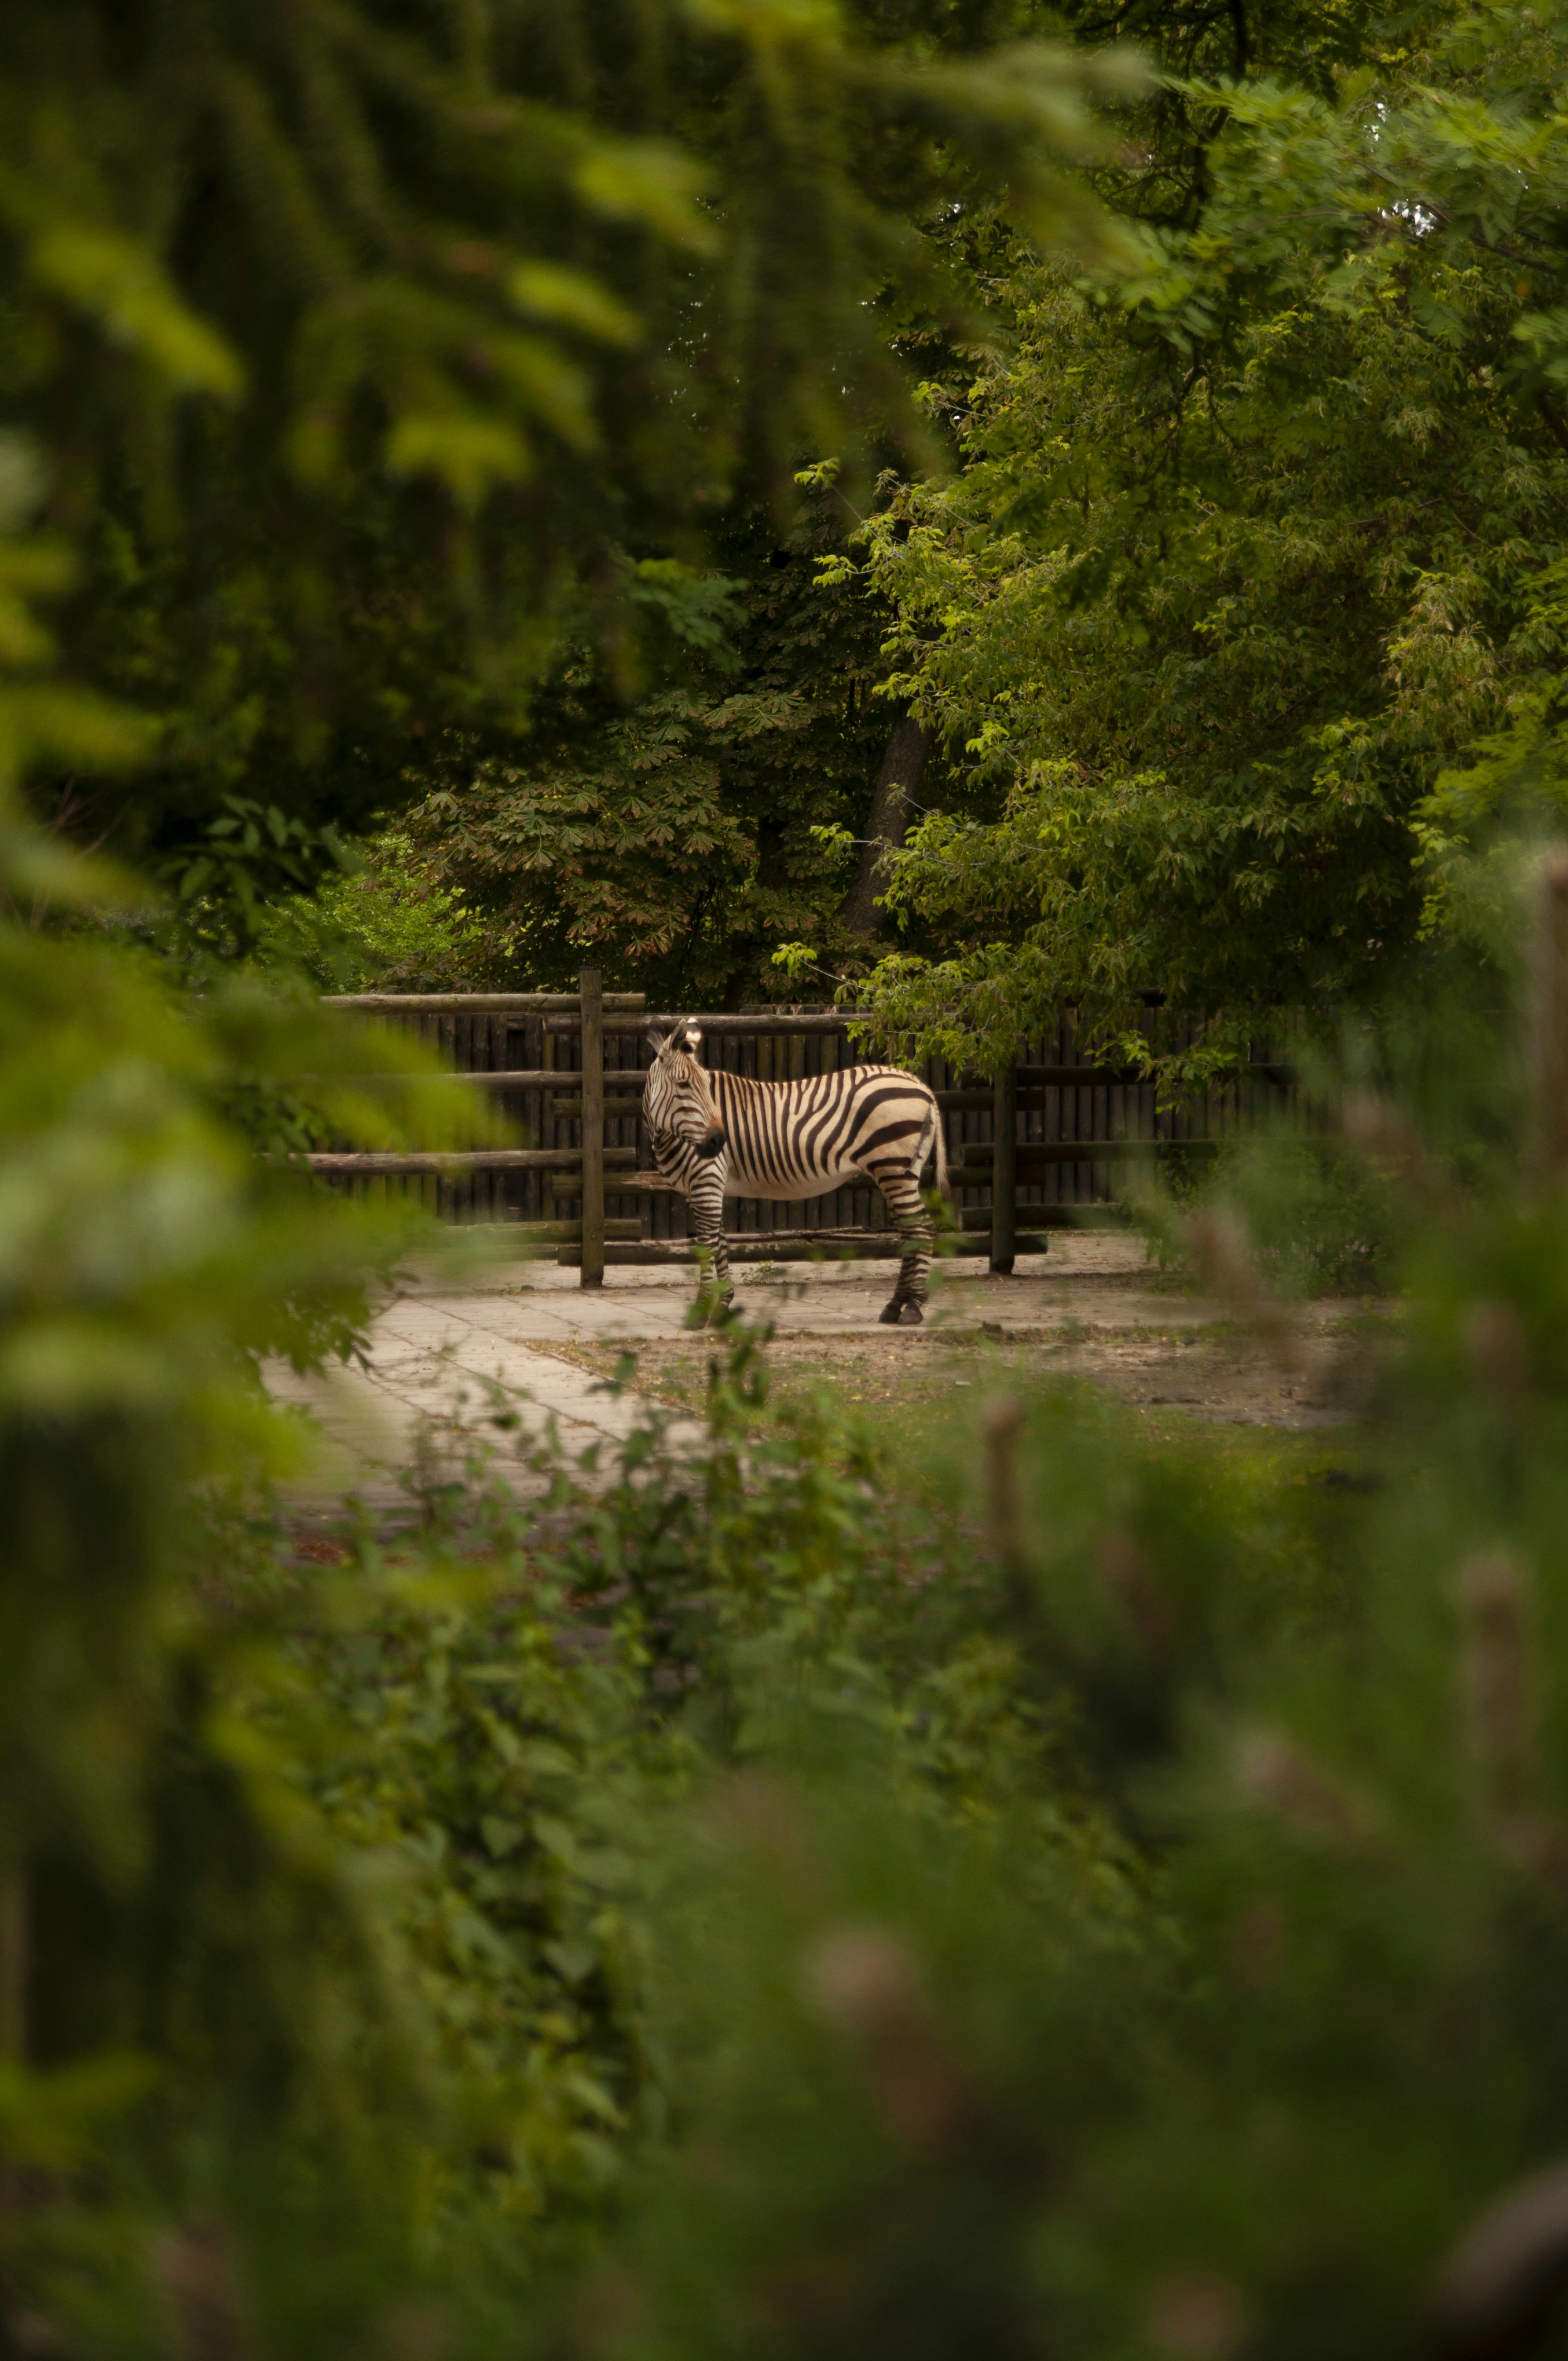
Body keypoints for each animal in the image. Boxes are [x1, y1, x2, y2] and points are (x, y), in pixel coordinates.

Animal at [641, 1021, 948, 1324]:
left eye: (706, 1086)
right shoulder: (708, 1187)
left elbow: (708, 1245)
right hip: (901, 1172)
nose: (719, 1142)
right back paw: (896, 1306)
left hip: (892, 1167)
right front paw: (722, 1307)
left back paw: (913, 1308)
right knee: (910, 1231)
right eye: (684, 1085)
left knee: (922, 1228)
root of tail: (920, 1084)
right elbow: (721, 1245)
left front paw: (702, 1311)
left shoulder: (707, 1181)